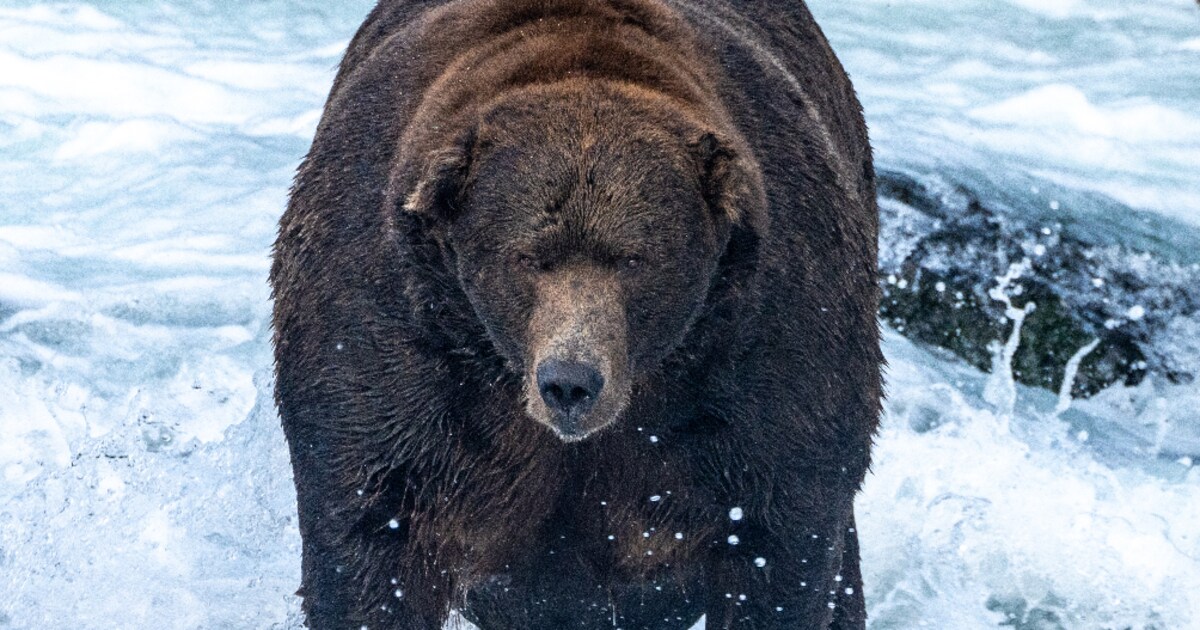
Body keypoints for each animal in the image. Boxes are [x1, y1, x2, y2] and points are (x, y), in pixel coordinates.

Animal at [270, 0, 882, 628]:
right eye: (527, 256)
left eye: (634, 258)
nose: (570, 382)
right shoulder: (395, 327)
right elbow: (374, 527)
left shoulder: (764, 338)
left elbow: (776, 540)